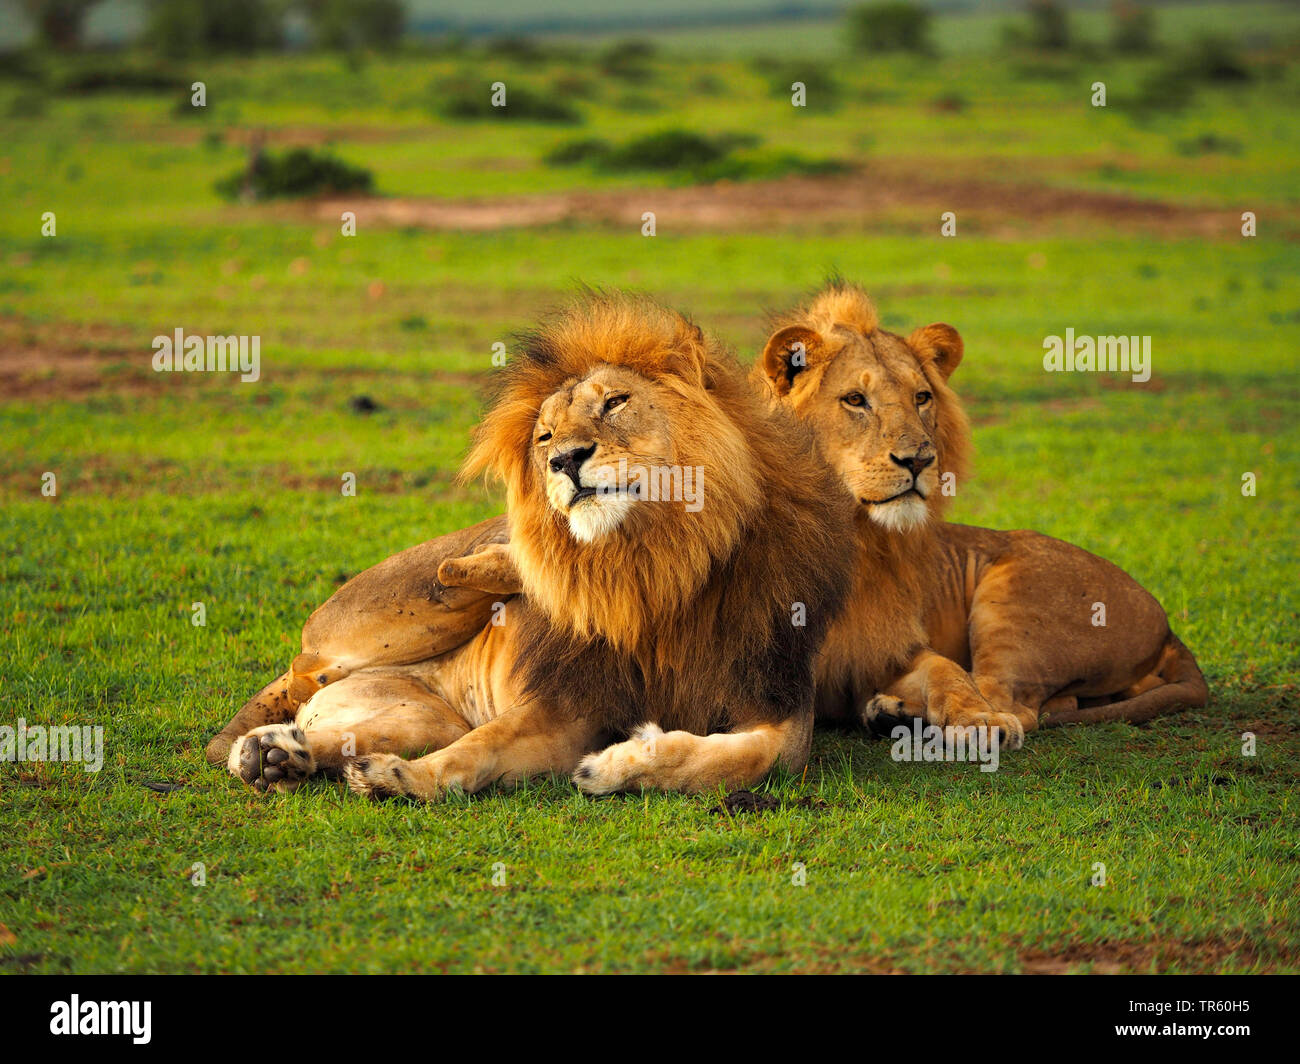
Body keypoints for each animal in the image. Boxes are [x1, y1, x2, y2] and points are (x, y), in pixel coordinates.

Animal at [205, 292, 858, 799]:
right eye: (544, 435)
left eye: (615, 402)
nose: (563, 459)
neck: (657, 562)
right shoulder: (568, 702)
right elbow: (483, 747)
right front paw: (404, 780)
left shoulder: (778, 706)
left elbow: (748, 758)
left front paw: (614, 766)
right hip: (394, 619)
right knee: (322, 664)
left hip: (418, 715)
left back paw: (279, 754)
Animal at [757, 282, 1209, 739]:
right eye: (854, 399)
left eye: (922, 398)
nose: (919, 460)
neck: (857, 539)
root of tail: (1167, 626)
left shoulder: (888, 649)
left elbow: (947, 669)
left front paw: (977, 718)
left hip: (1012, 603)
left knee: (1016, 704)